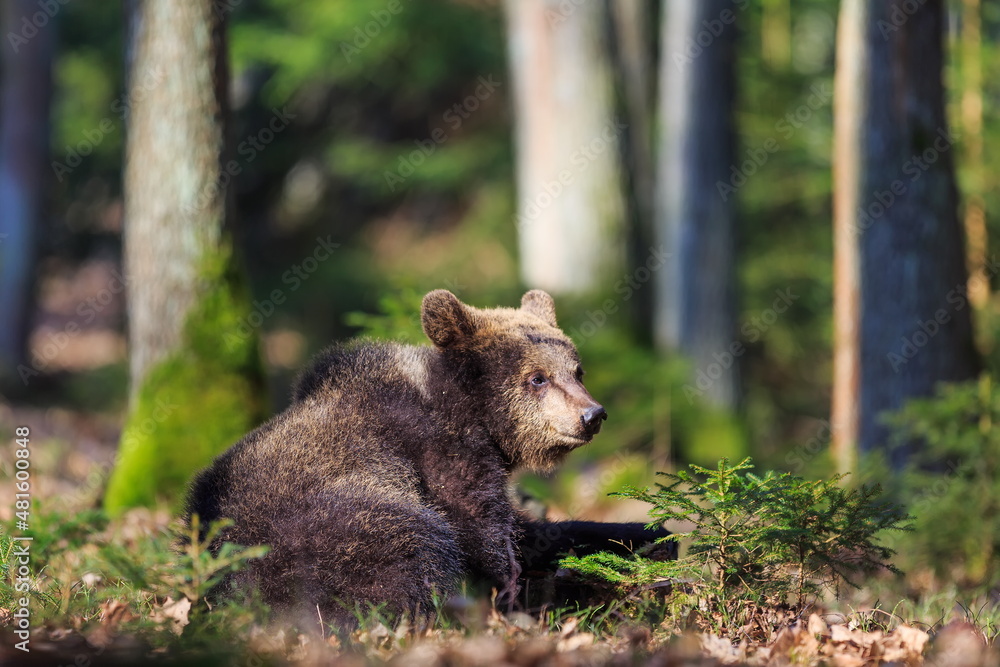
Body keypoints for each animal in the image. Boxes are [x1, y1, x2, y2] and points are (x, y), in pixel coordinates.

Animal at [186, 289, 672, 626]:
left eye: (577, 370)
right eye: (537, 377)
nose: (592, 414)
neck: (472, 417)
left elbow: (538, 532)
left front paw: (649, 534)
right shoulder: (439, 456)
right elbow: (483, 537)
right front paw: (516, 600)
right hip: (319, 529)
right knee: (411, 545)